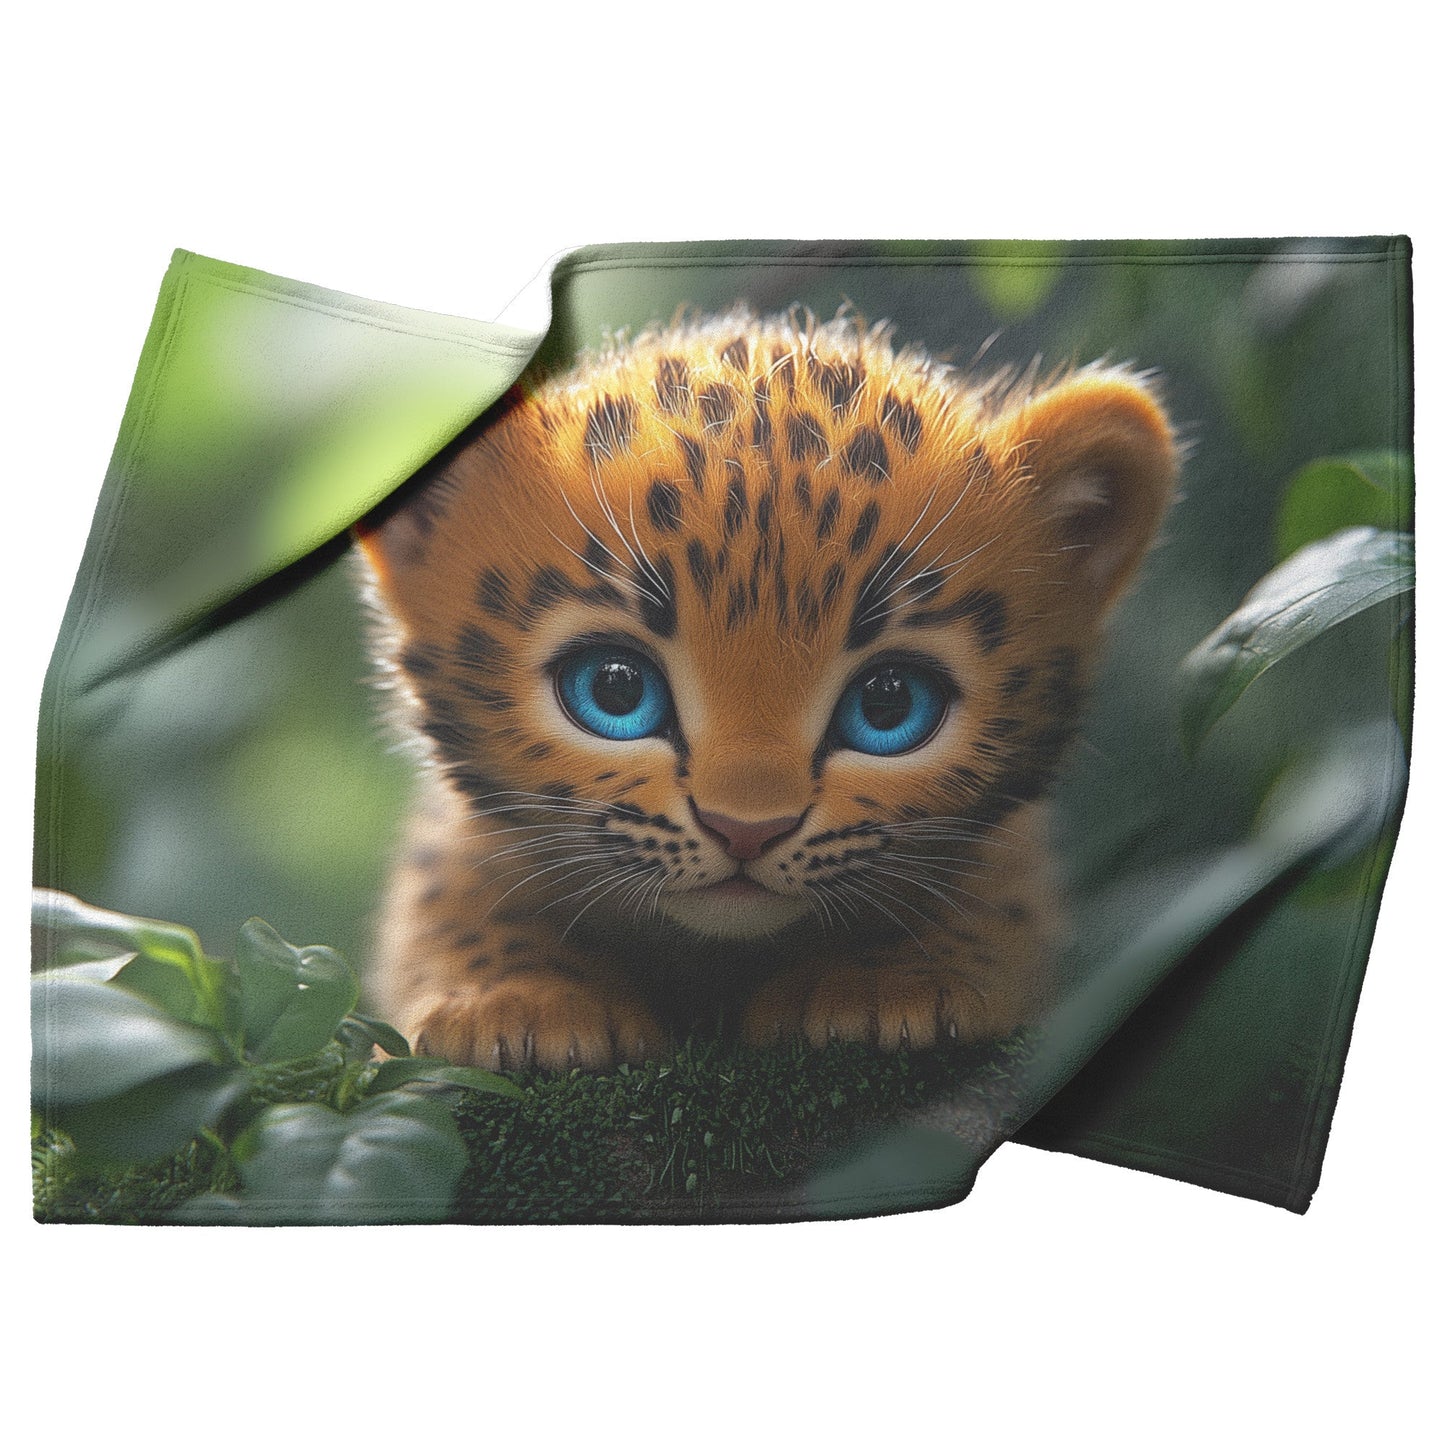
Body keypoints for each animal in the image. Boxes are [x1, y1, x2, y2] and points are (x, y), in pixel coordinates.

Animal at [354, 309, 1177, 1071]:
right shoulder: (453, 845)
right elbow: (452, 903)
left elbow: (993, 904)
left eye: (888, 704)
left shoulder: (1009, 859)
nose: (745, 830)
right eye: (615, 691)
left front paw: (888, 981)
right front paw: (514, 999)